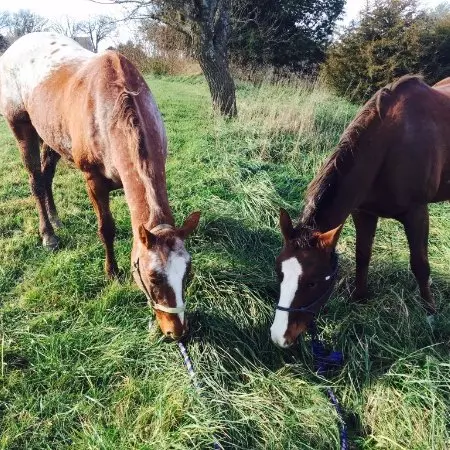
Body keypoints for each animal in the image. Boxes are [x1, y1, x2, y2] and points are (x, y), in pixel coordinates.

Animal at [0, 31, 200, 340]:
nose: (176, 331)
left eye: (187, 270)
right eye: (152, 277)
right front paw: (111, 272)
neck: (110, 111)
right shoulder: (93, 181)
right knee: (36, 181)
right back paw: (48, 234)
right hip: (21, 128)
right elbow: (106, 228)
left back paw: (56, 219)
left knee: (46, 177)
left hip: (51, 136)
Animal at [270, 74, 450, 348]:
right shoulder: (363, 212)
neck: (391, 145)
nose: (280, 337)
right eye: (279, 272)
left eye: (312, 281)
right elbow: (362, 255)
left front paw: (430, 313)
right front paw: (359, 298)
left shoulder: (417, 213)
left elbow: (420, 265)